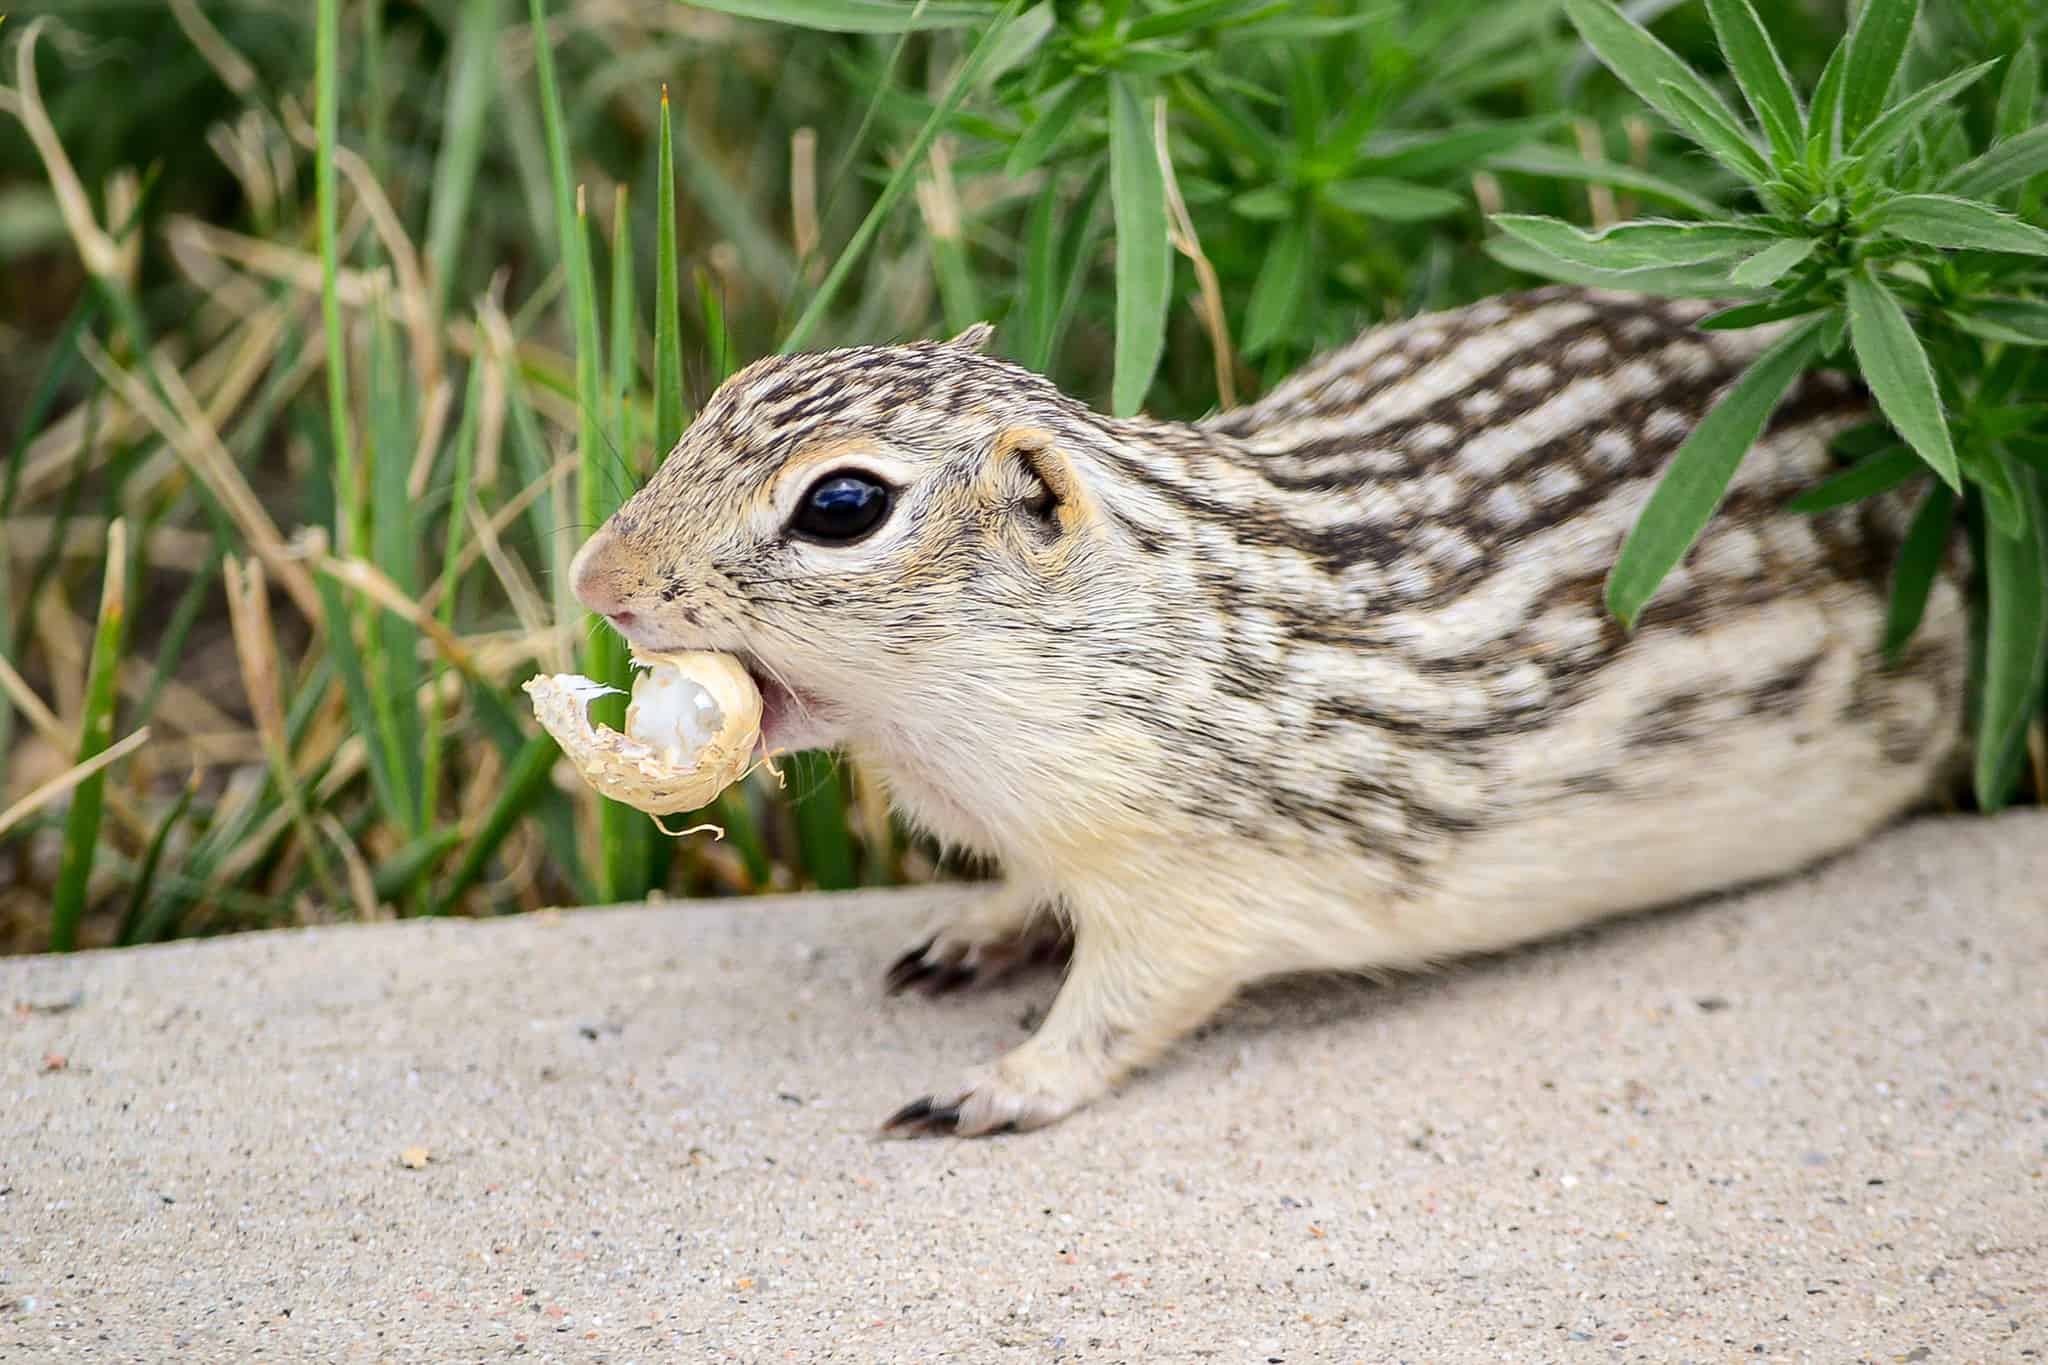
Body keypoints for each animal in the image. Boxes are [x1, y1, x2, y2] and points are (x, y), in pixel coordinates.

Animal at [570, 285, 1965, 1137]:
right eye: (727, 389)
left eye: (842, 505)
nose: (593, 580)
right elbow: (1029, 901)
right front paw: (976, 930)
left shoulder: (1197, 885)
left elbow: (1122, 1008)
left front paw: (998, 1087)